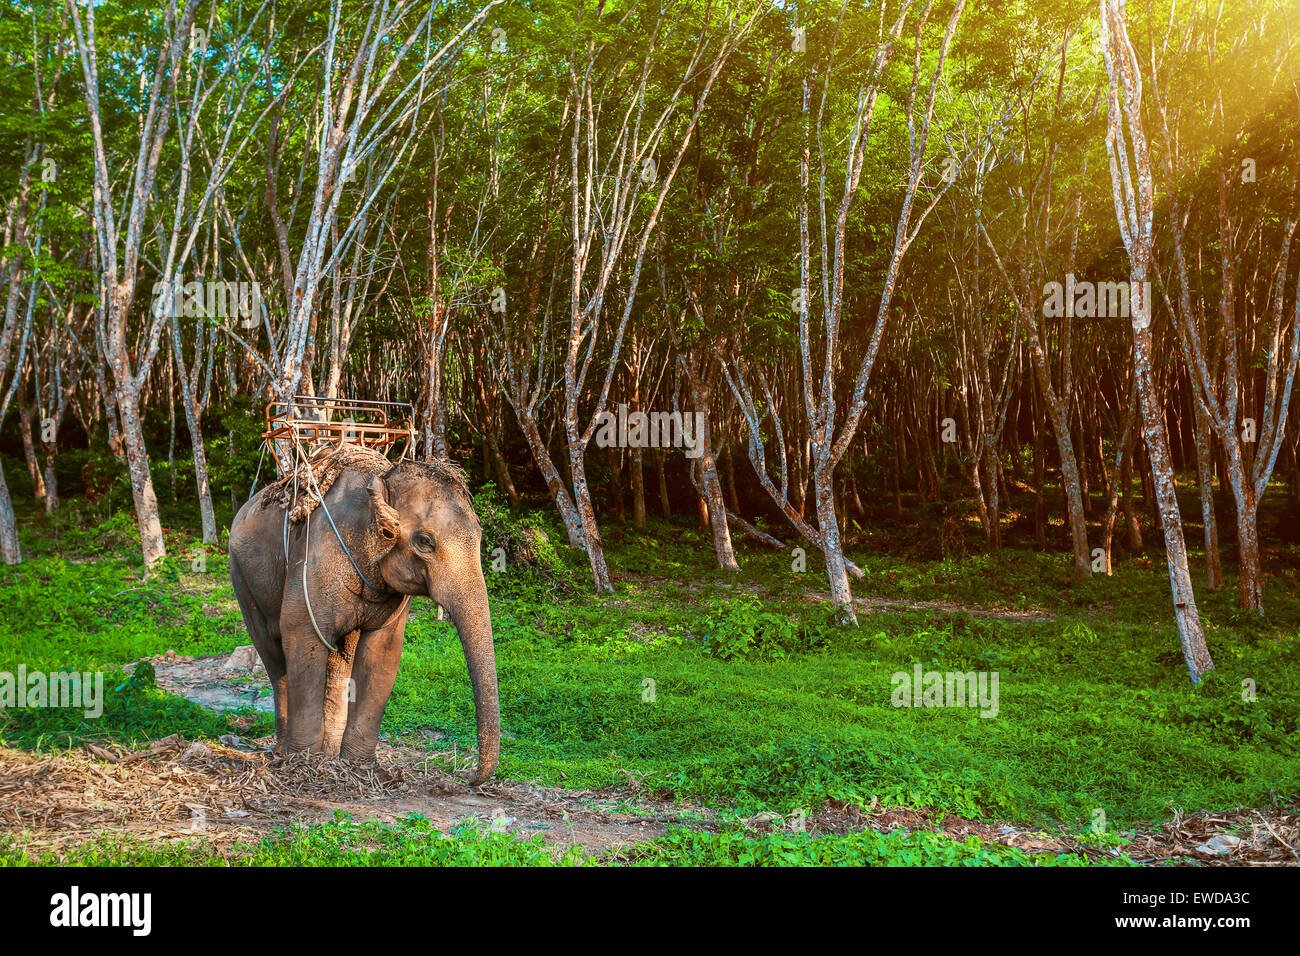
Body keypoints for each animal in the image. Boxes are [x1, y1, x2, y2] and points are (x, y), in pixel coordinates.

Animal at [228, 447, 499, 785]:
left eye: (479, 536)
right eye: (425, 542)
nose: (469, 777)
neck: (383, 479)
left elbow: (382, 653)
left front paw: (357, 766)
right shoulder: (315, 561)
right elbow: (302, 636)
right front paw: (303, 765)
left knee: (338, 660)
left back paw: (328, 753)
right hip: (242, 578)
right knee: (274, 656)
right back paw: (286, 752)